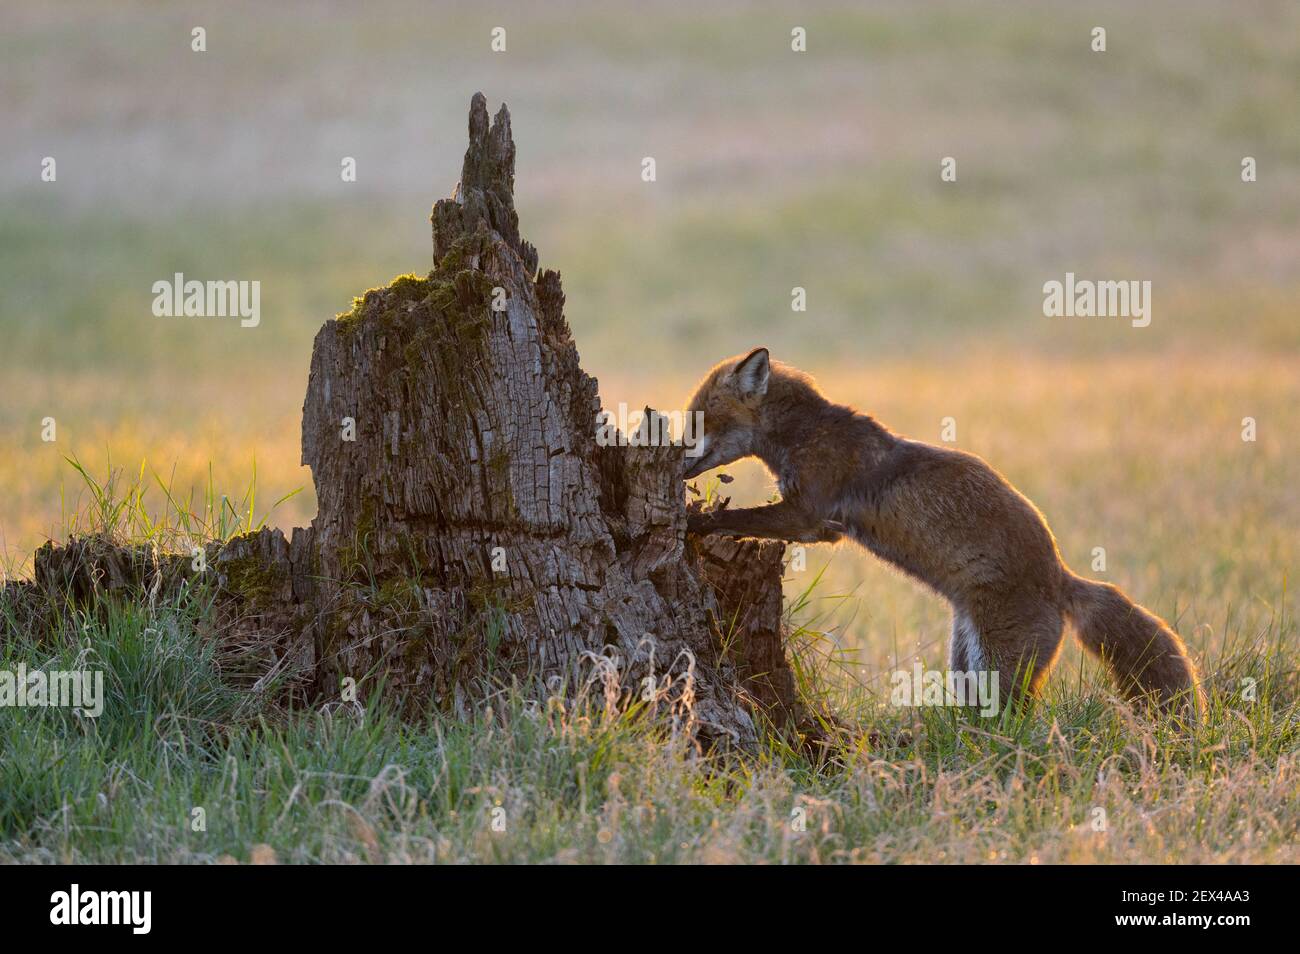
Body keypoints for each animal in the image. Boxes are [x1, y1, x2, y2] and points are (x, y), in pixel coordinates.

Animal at [683, 347, 1203, 718]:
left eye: (699, 419)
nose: (673, 449)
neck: (804, 435)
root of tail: (1060, 576)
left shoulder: (810, 517)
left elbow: (742, 517)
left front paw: (695, 523)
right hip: (965, 664)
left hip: (997, 668)